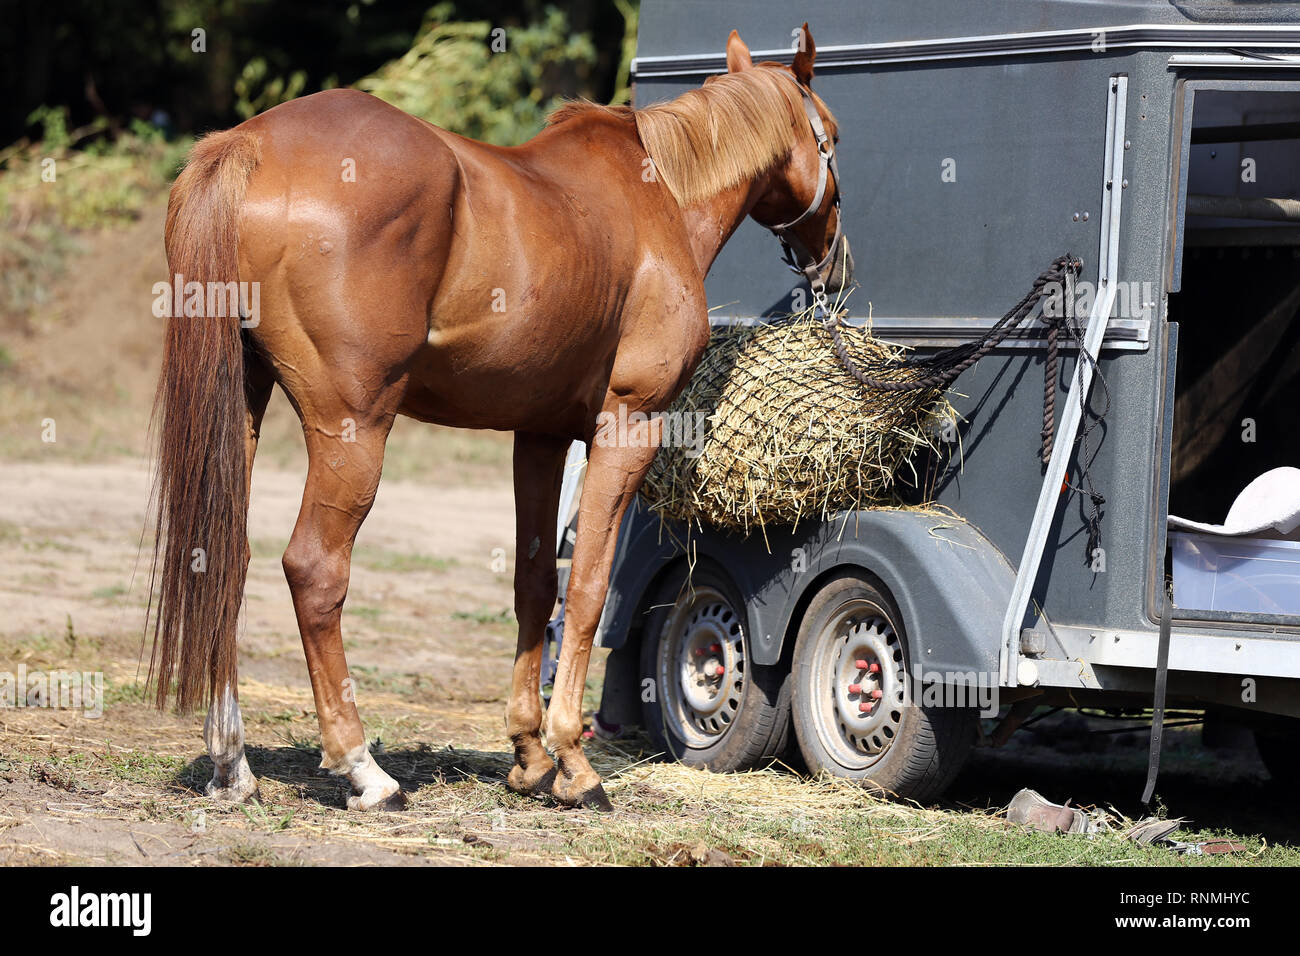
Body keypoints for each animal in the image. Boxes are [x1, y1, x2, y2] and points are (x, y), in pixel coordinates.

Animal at [147, 24, 851, 811]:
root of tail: (252, 143)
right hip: (353, 431)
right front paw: (574, 763)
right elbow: (588, 588)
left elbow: (535, 582)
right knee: (315, 571)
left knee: (222, 560)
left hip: (243, 411)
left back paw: (231, 763)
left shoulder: (539, 437)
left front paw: (529, 755)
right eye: (831, 136)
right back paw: (364, 769)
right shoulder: (626, 428)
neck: (659, 195)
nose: (833, 261)